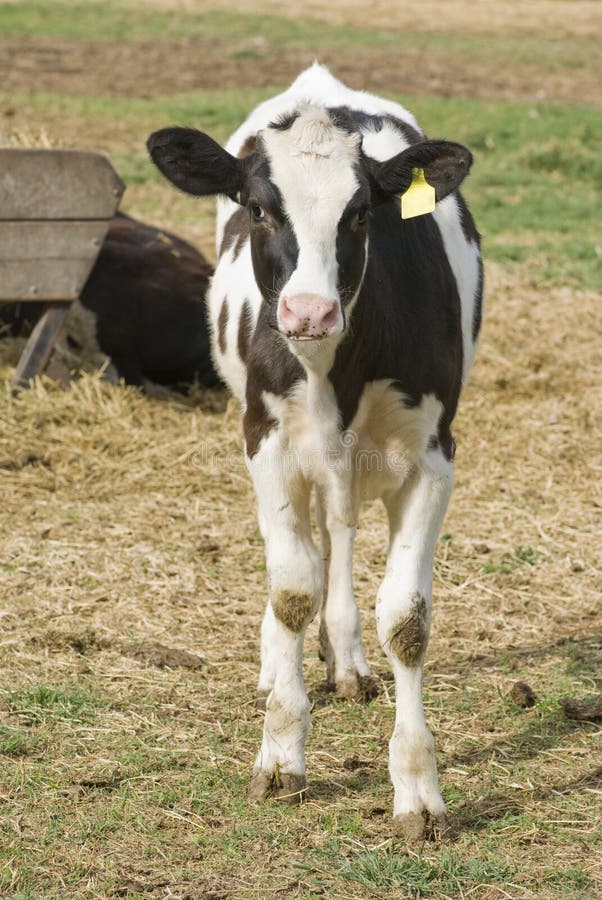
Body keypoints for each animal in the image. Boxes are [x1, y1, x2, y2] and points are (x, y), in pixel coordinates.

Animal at [148, 63, 483, 840]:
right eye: (258, 209)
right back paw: (284, 664)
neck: (337, 367)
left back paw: (346, 658)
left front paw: (417, 787)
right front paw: (281, 752)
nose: (308, 312)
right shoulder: (265, 442)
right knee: (303, 557)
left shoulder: (434, 456)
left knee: (338, 532)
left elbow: (406, 620)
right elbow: (293, 589)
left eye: (360, 215)